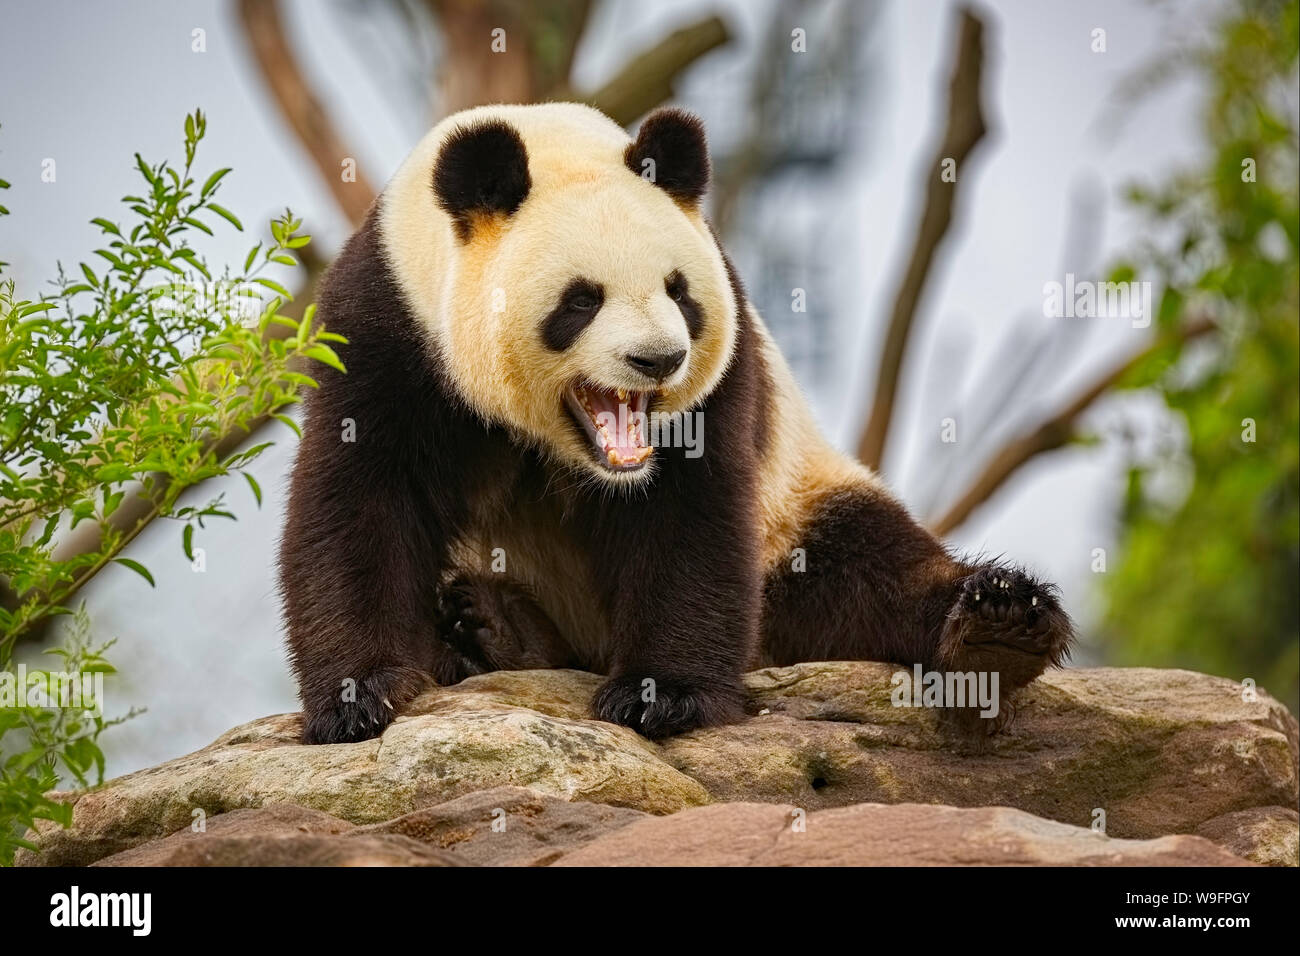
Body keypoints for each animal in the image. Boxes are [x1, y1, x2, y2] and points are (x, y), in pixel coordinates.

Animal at [279, 102, 1074, 745]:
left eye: (678, 292)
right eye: (581, 300)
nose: (657, 359)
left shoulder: (726, 367)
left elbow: (689, 514)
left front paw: (661, 696)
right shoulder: (387, 327)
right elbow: (360, 499)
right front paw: (359, 697)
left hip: (793, 512)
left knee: (864, 567)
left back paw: (998, 624)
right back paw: (487, 629)